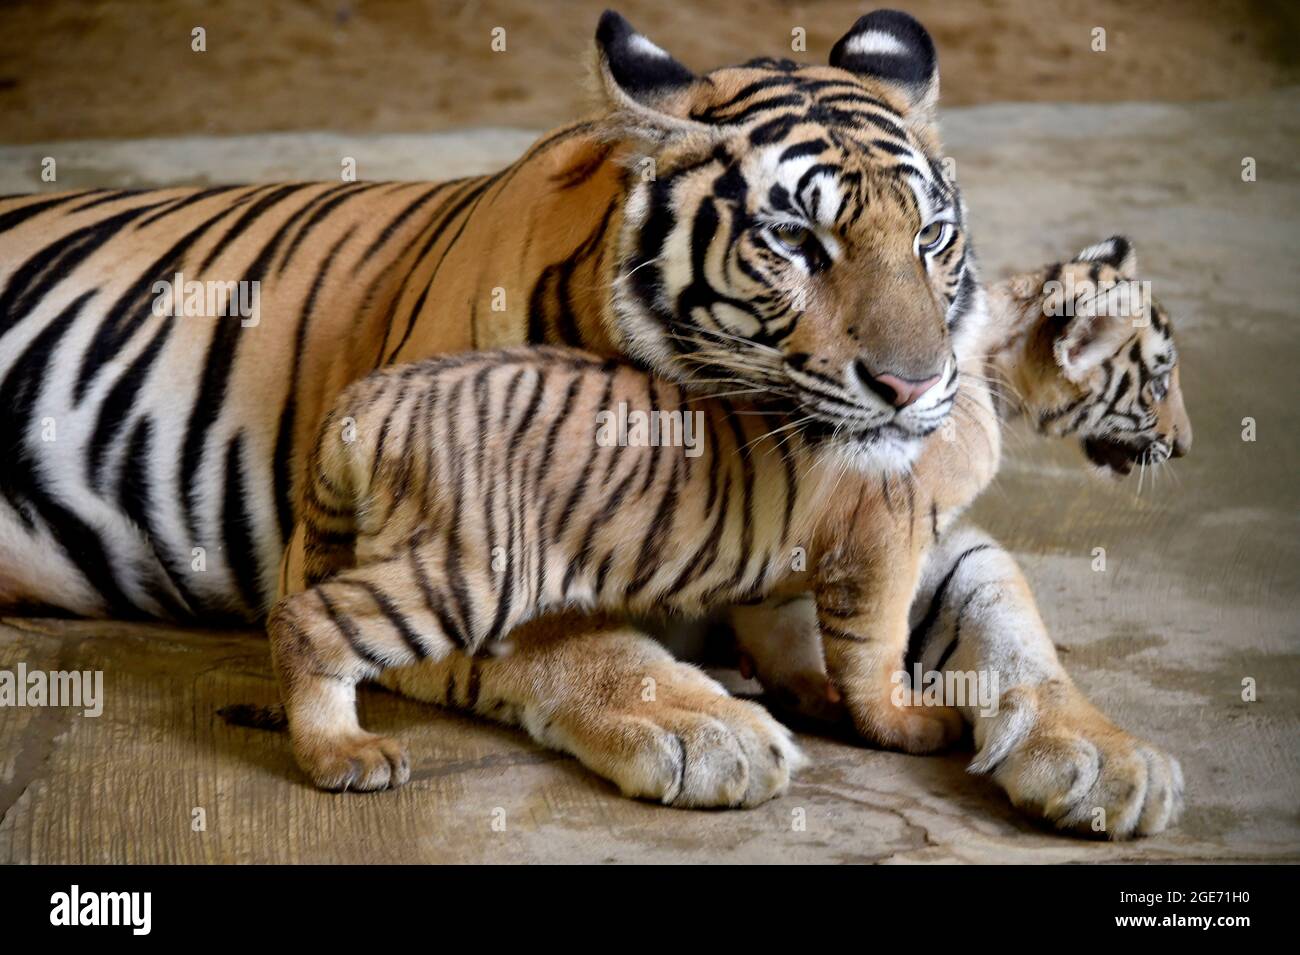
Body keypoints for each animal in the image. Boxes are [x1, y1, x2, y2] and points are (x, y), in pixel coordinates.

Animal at [0, 7, 1186, 835]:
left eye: (932, 236)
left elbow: (1005, 607)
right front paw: (700, 724)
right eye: (796, 242)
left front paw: (1106, 755)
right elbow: (563, 637)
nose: (916, 385)